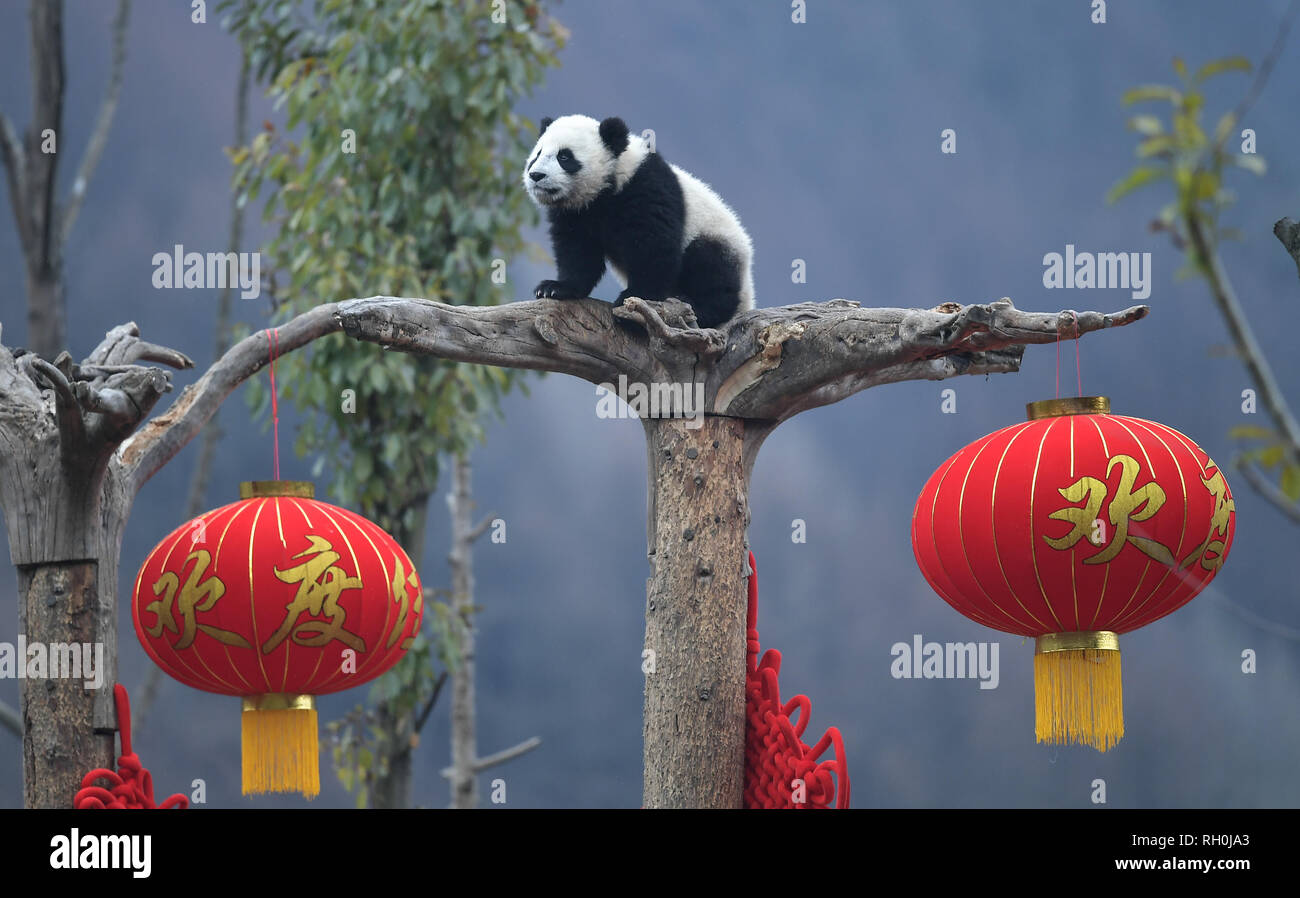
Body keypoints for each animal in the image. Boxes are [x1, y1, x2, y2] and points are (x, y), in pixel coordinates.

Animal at [522, 114, 754, 329]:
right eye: (537, 155)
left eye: (564, 156)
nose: (536, 175)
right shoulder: (577, 212)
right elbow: (577, 250)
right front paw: (555, 288)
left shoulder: (645, 188)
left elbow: (653, 248)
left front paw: (634, 301)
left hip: (717, 238)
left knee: (711, 267)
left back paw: (697, 306)